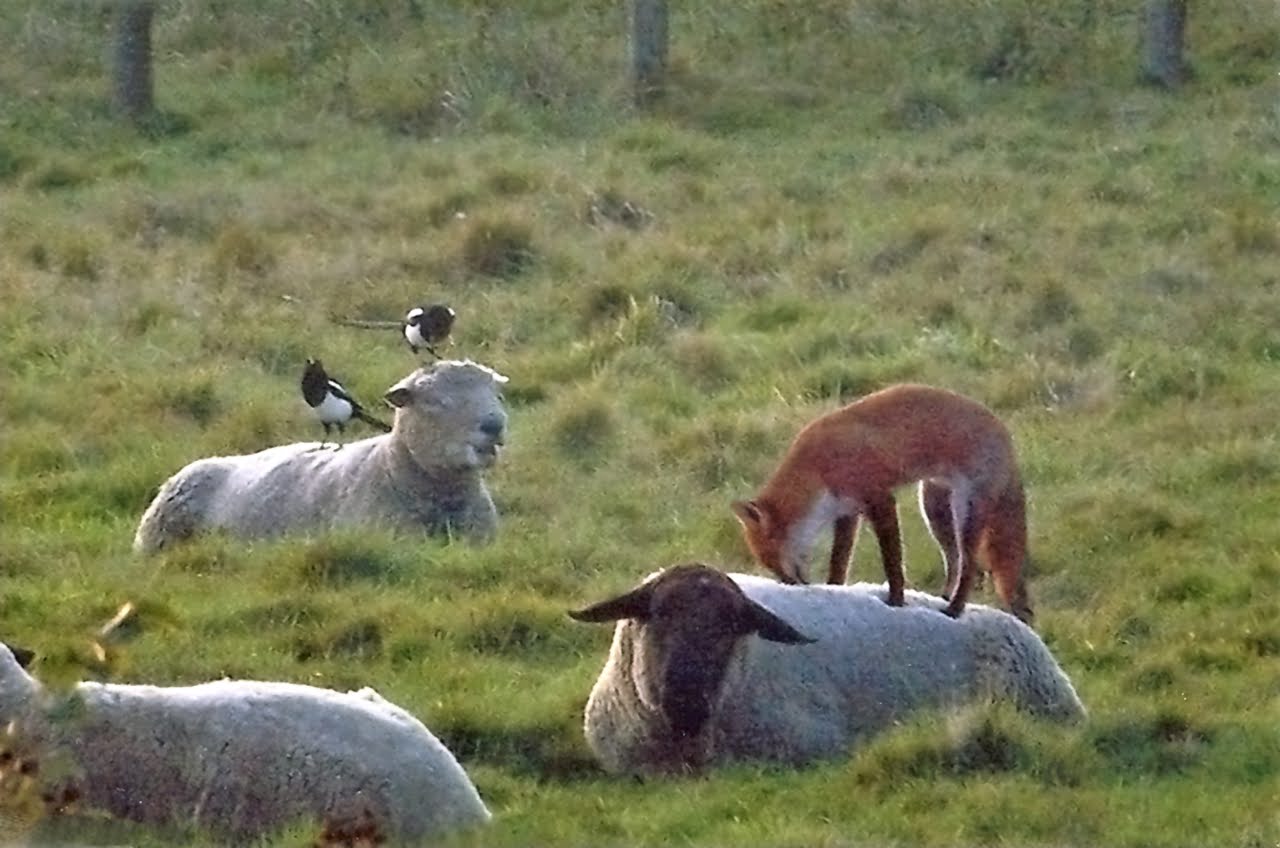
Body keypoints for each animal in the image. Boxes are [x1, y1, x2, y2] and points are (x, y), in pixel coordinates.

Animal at [731, 383, 1033, 624]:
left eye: (774, 560)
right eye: (770, 567)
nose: (791, 586)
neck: (818, 467)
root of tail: (1006, 435)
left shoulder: (880, 499)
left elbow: (892, 563)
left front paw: (896, 602)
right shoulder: (848, 512)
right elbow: (838, 563)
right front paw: (835, 592)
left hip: (964, 513)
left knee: (971, 568)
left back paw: (954, 611)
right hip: (934, 511)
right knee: (956, 562)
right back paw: (944, 599)